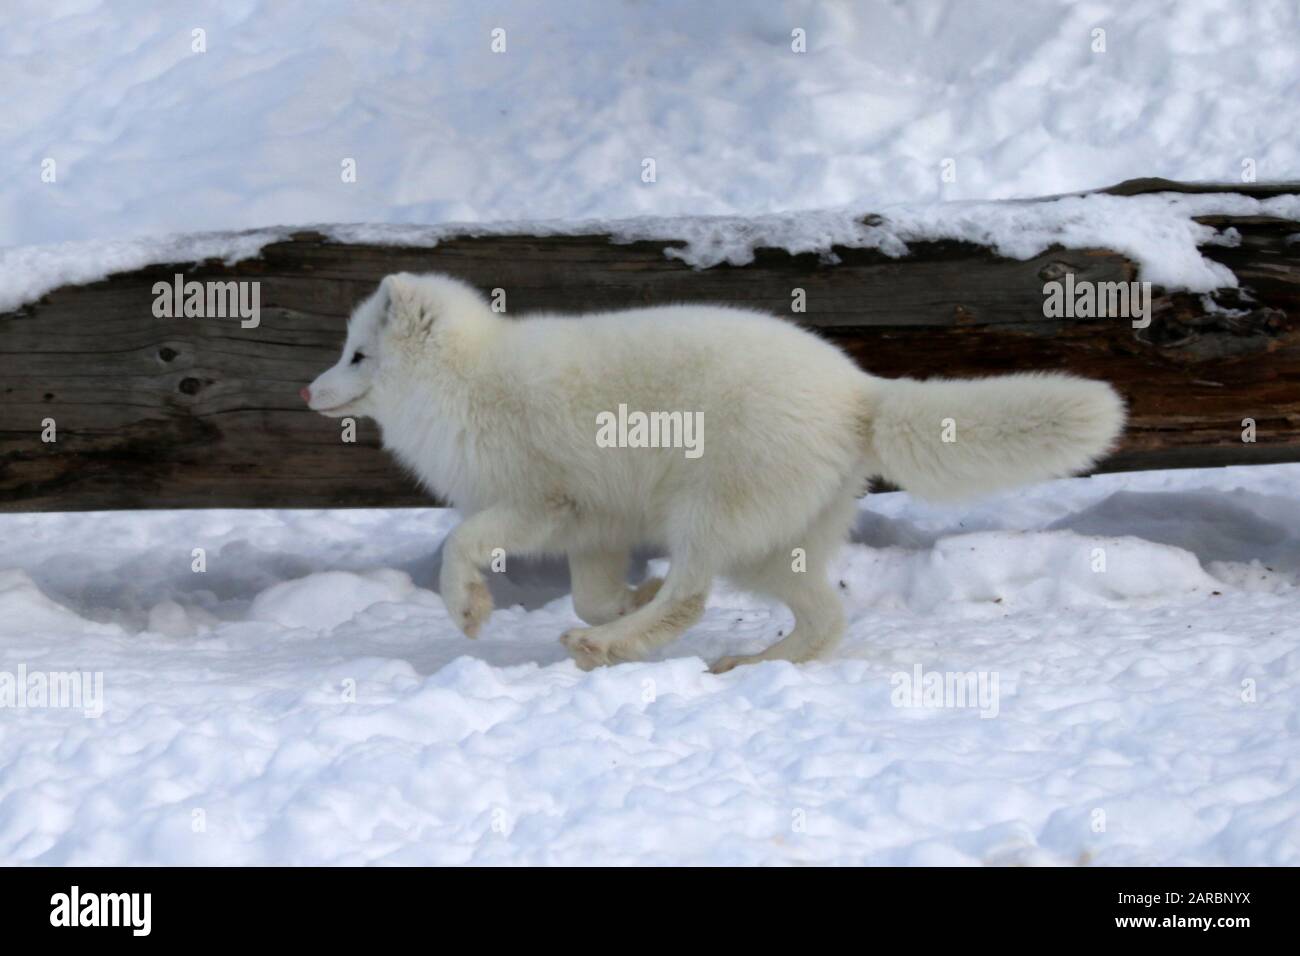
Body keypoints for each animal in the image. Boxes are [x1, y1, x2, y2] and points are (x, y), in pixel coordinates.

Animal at [304, 273, 1125, 672]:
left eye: (356, 355)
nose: (309, 393)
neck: (467, 379)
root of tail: (858, 391)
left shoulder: (543, 501)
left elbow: (459, 547)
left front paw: (468, 609)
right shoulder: (596, 525)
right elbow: (590, 597)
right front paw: (623, 598)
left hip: (709, 516)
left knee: (691, 598)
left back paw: (613, 649)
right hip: (772, 547)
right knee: (826, 618)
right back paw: (749, 665)